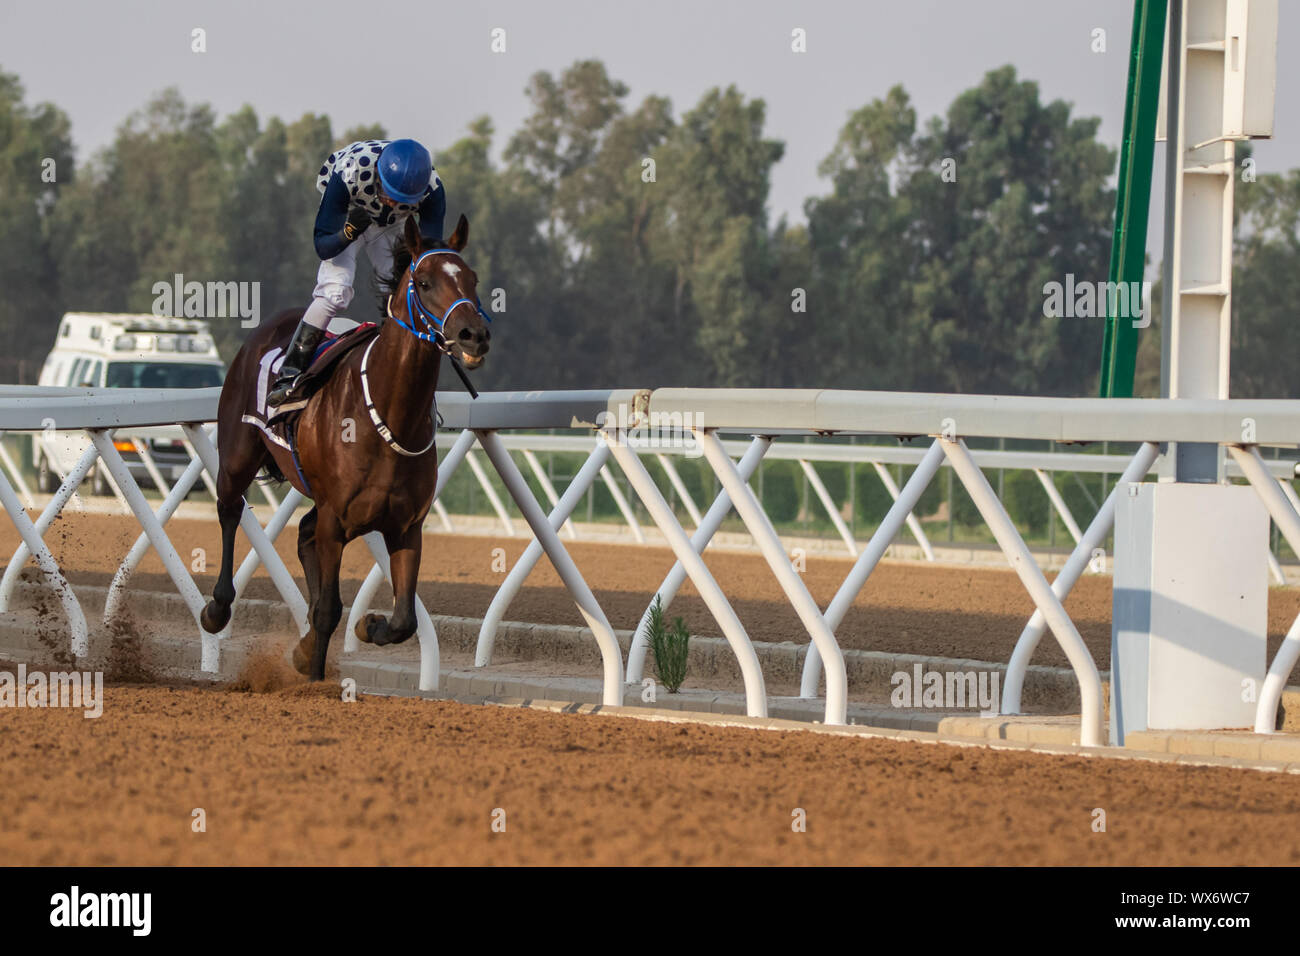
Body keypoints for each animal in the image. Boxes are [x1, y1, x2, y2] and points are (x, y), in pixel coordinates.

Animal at [199, 213, 491, 680]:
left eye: (472, 279)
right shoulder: (336, 520)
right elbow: (328, 611)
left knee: (303, 532)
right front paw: (315, 673)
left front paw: (367, 626)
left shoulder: (406, 526)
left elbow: (404, 619)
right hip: (237, 455)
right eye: (424, 282)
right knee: (230, 510)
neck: (389, 413)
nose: (473, 335)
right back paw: (217, 608)